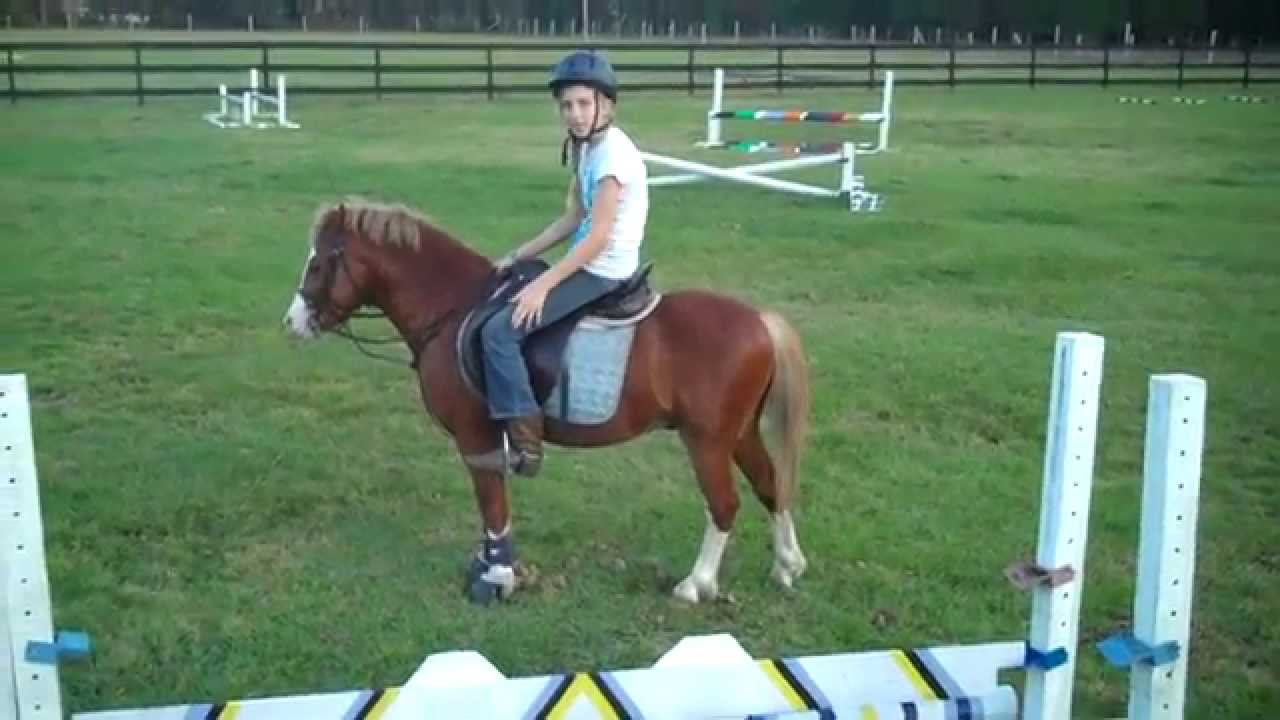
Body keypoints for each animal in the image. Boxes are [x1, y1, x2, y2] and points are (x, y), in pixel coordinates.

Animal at [281, 198, 811, 605]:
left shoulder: (476, 436)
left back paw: (696, 585)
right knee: (771, 487)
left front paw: (496, 579)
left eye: (319, 262)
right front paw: (487, 565)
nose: (293, 322)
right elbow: (492, 505)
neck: (453, 308)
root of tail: (760, 320)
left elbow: (492, 504)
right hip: (739, 433)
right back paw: (786, 566)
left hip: (706, 440)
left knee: (724, 504)